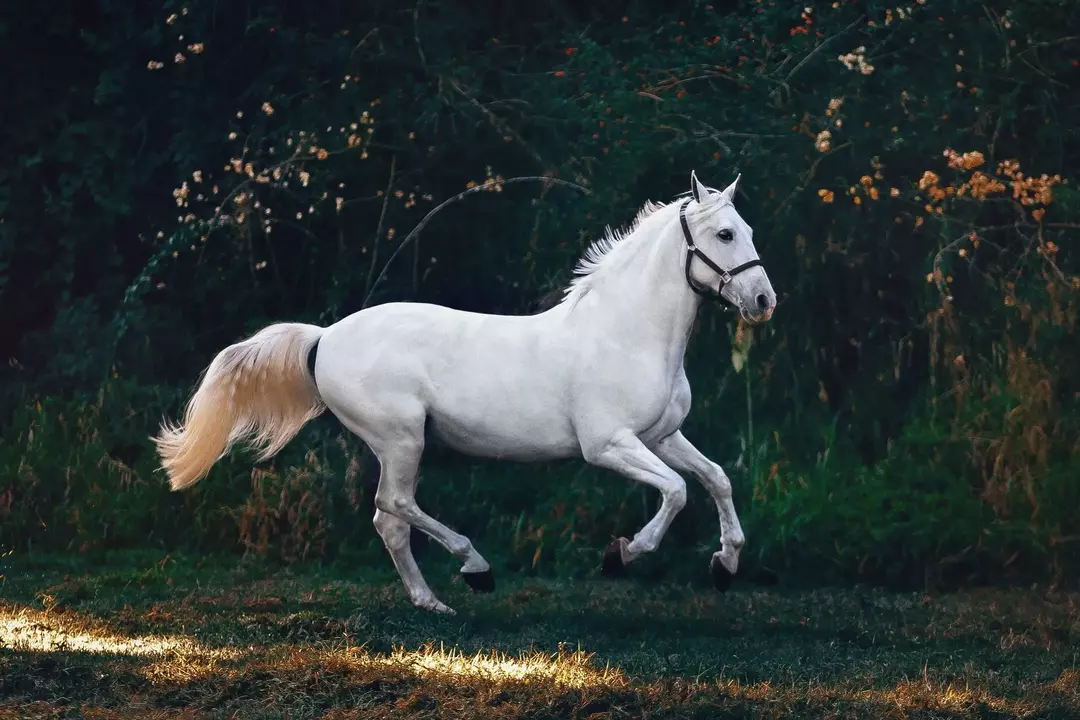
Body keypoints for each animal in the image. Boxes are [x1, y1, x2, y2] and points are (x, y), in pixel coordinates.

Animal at [156, 170, 773, 613]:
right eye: (724, 234)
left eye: (748, 230)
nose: (764, 301)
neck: (626, 333)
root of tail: (325, 337)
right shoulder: (609, 445)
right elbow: (676, 491)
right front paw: (621, 556)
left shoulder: (662, 436)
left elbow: (716, 479)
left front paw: (725, 566)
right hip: (402, 439)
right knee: (394, 506)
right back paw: (474, 570)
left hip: (399, 444)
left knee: (389, 520)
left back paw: (432, 602)